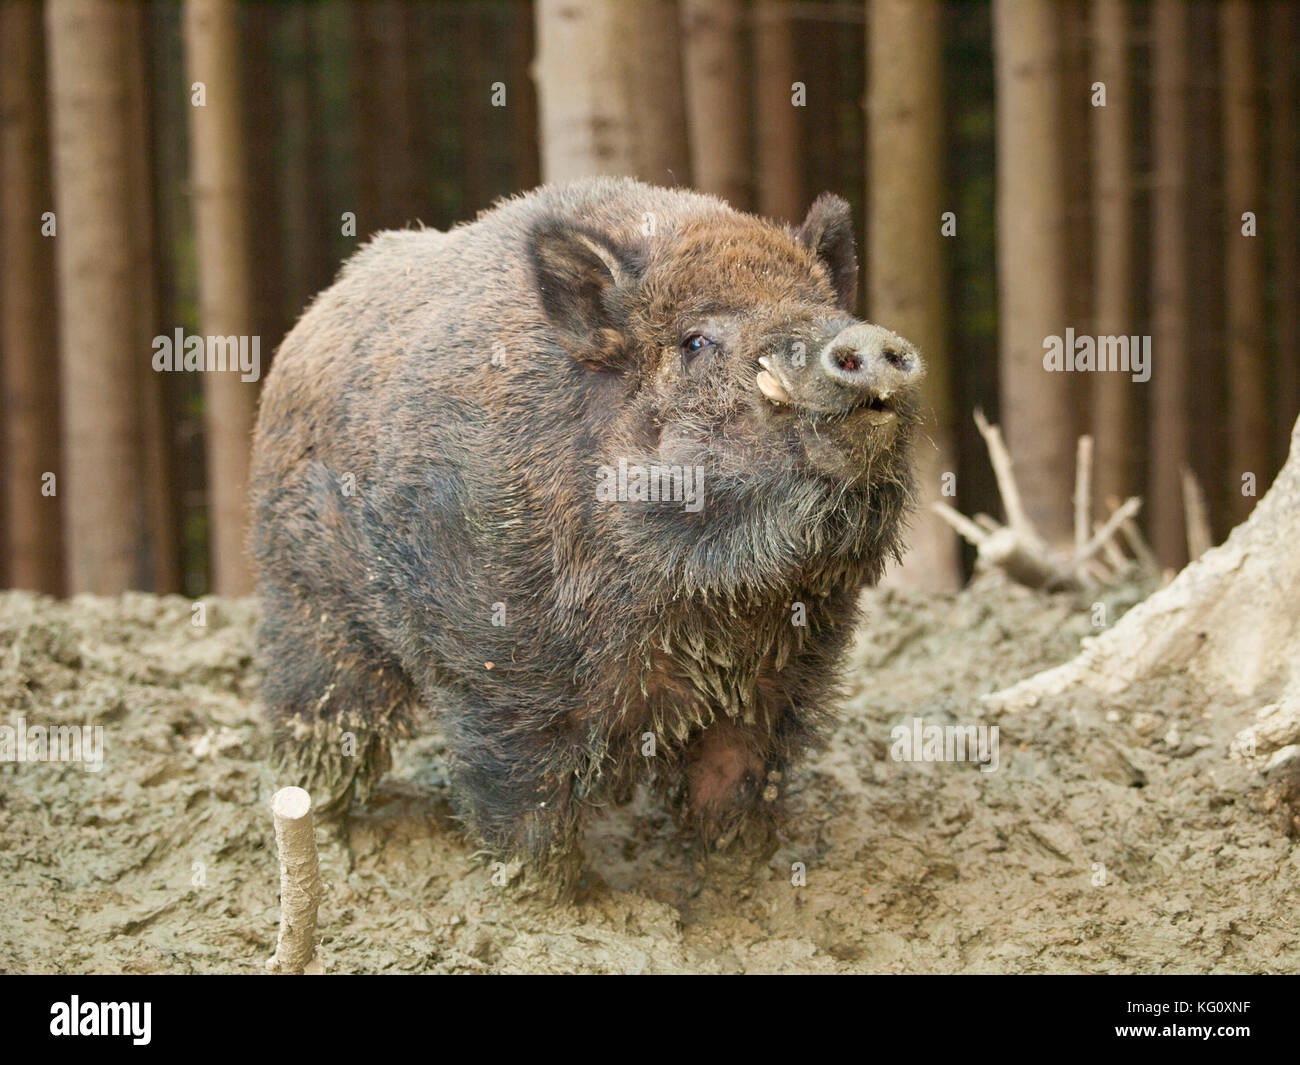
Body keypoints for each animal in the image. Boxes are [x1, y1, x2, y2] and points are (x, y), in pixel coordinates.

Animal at [250, 177, 924, 891]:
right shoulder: (503, 674)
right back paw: (329, 825)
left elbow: (737, 778)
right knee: (323, 709)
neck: (717, 606)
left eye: (821, 305)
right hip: (307, 597)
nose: (870, 340)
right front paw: (553, 897)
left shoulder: (785, 675)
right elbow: (525, 802)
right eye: (694, 341)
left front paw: (732, 876)